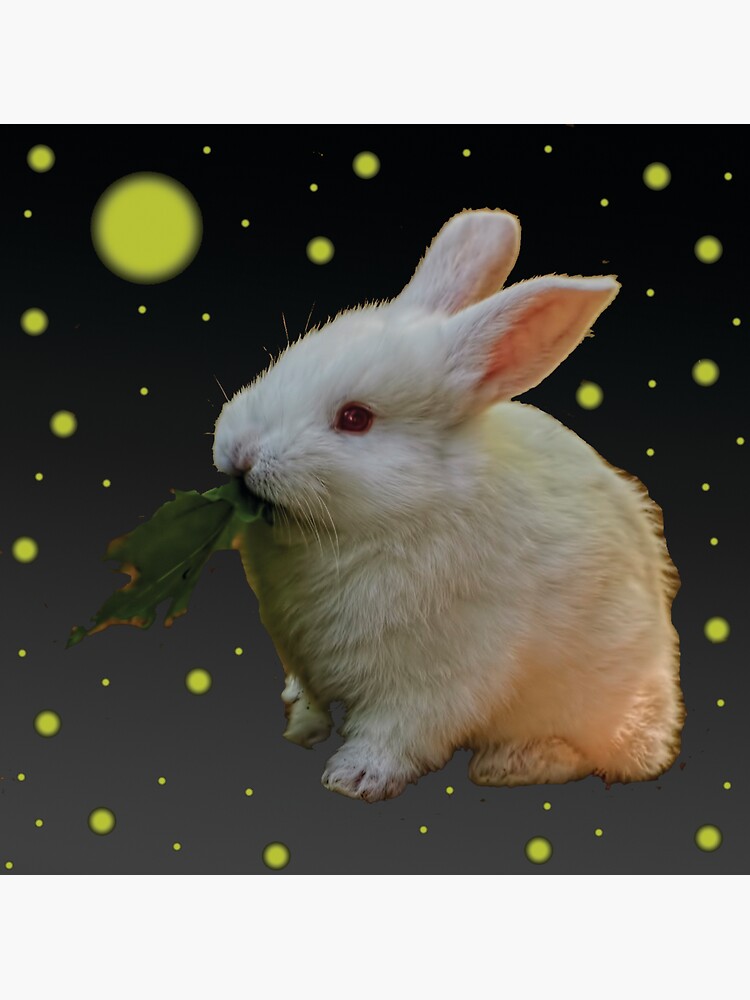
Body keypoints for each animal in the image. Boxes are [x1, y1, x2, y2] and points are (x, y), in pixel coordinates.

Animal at [212, 208, 684, 802]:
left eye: (355, 419)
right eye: (284, 363)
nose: (240, 453)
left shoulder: (439, 677)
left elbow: (399, 731)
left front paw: (354, 778)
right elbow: (317, 702)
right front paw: (301, 725)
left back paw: (513, 763)